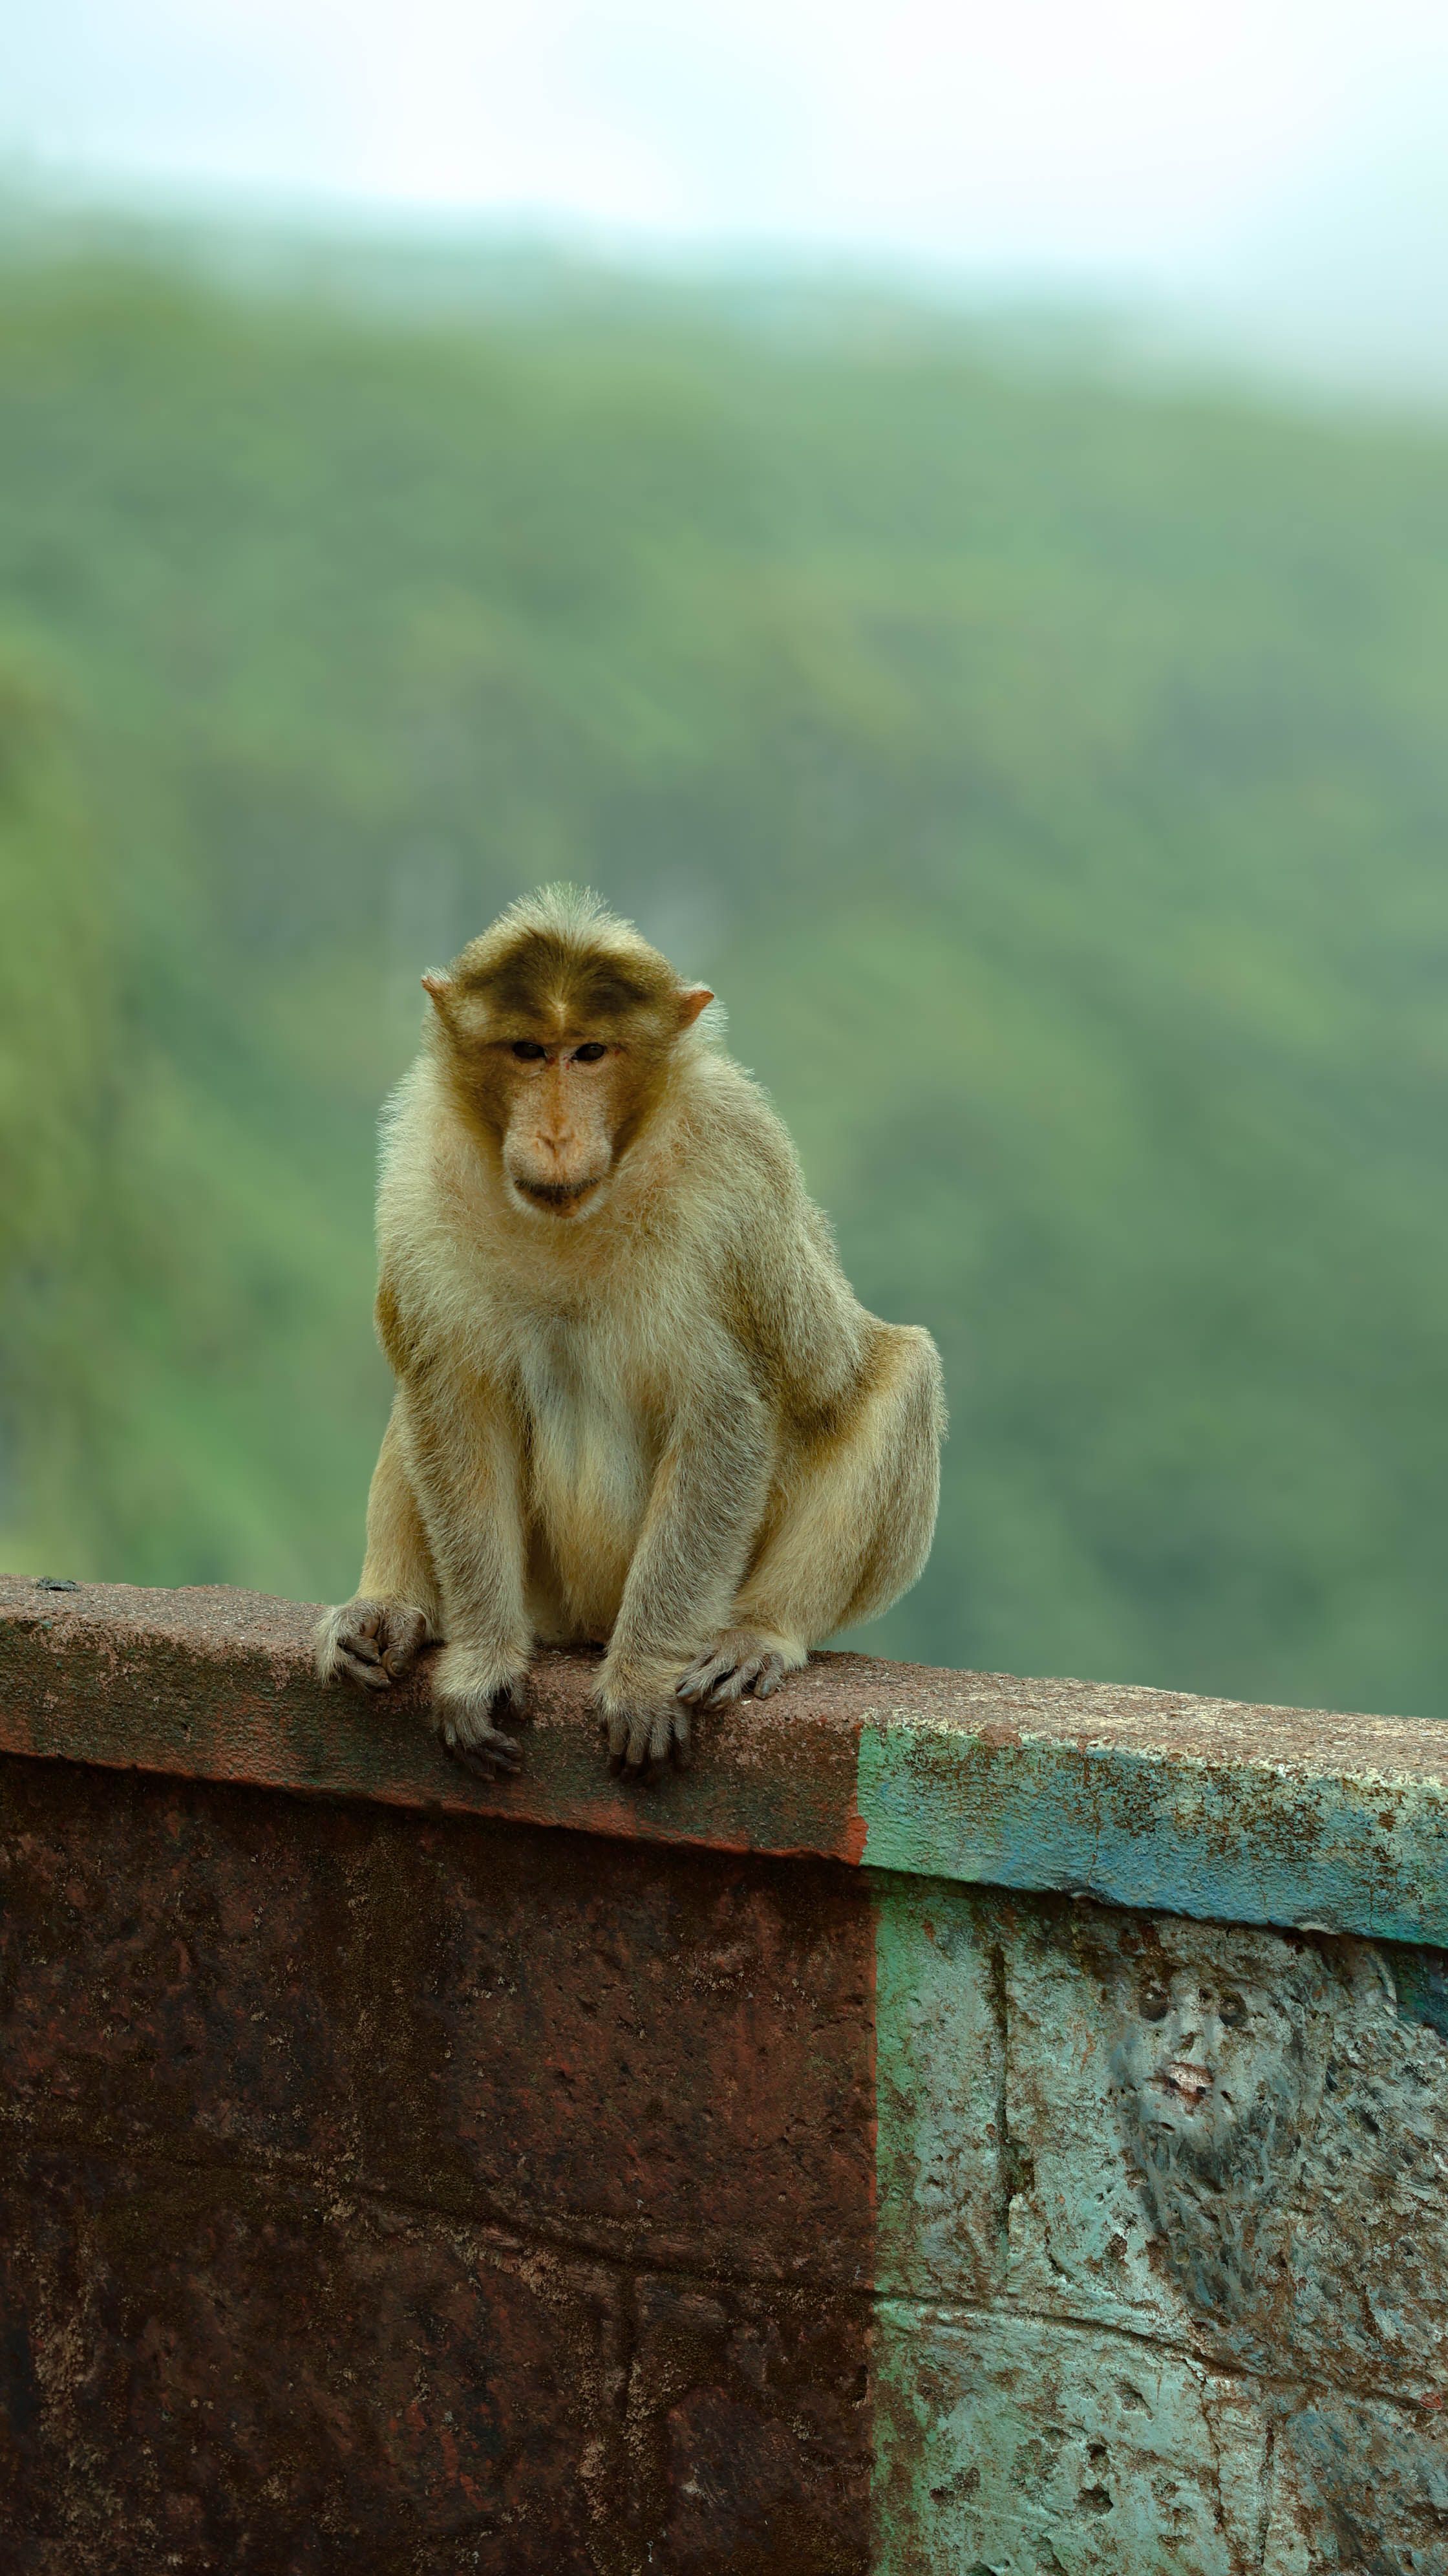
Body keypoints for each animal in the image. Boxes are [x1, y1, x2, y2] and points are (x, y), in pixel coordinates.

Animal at [315, 886, 945, 1780]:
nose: (554, 1134)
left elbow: (726, 1418)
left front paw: (644, 1677)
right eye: (527, 1050)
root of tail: (583, 1626)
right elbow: (455, 1405)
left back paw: (759, 1632)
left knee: (902, 1374)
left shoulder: (734, 1175)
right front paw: (480, 1663)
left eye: (589, 1053)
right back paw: (390, 1609)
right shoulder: (419, 1177)